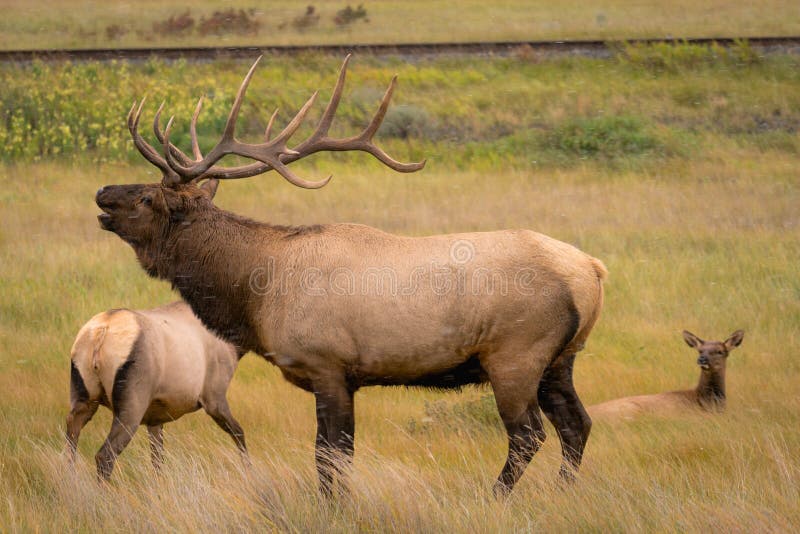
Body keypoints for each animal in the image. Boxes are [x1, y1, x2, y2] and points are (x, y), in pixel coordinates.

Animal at [66, 301, 247, 480]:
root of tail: (102, 332)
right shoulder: (214, 398)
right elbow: (239, 433)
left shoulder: (155, 418)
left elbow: (157, 460)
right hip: (130, 409)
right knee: (104, 455)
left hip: (84, 400)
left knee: (71, 441)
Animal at [94, 55, 607, 496]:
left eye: (146, 197)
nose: (102, 192)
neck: (256, 293)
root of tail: (592, 271)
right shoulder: (346, 376)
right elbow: (339, 455)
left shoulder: (328, 365)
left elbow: (329, 456)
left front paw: (333, 505)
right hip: (561, 358)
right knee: (576, 424)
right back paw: (564, 492)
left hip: (516, 354)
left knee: (528, 434)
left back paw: (495, 497)